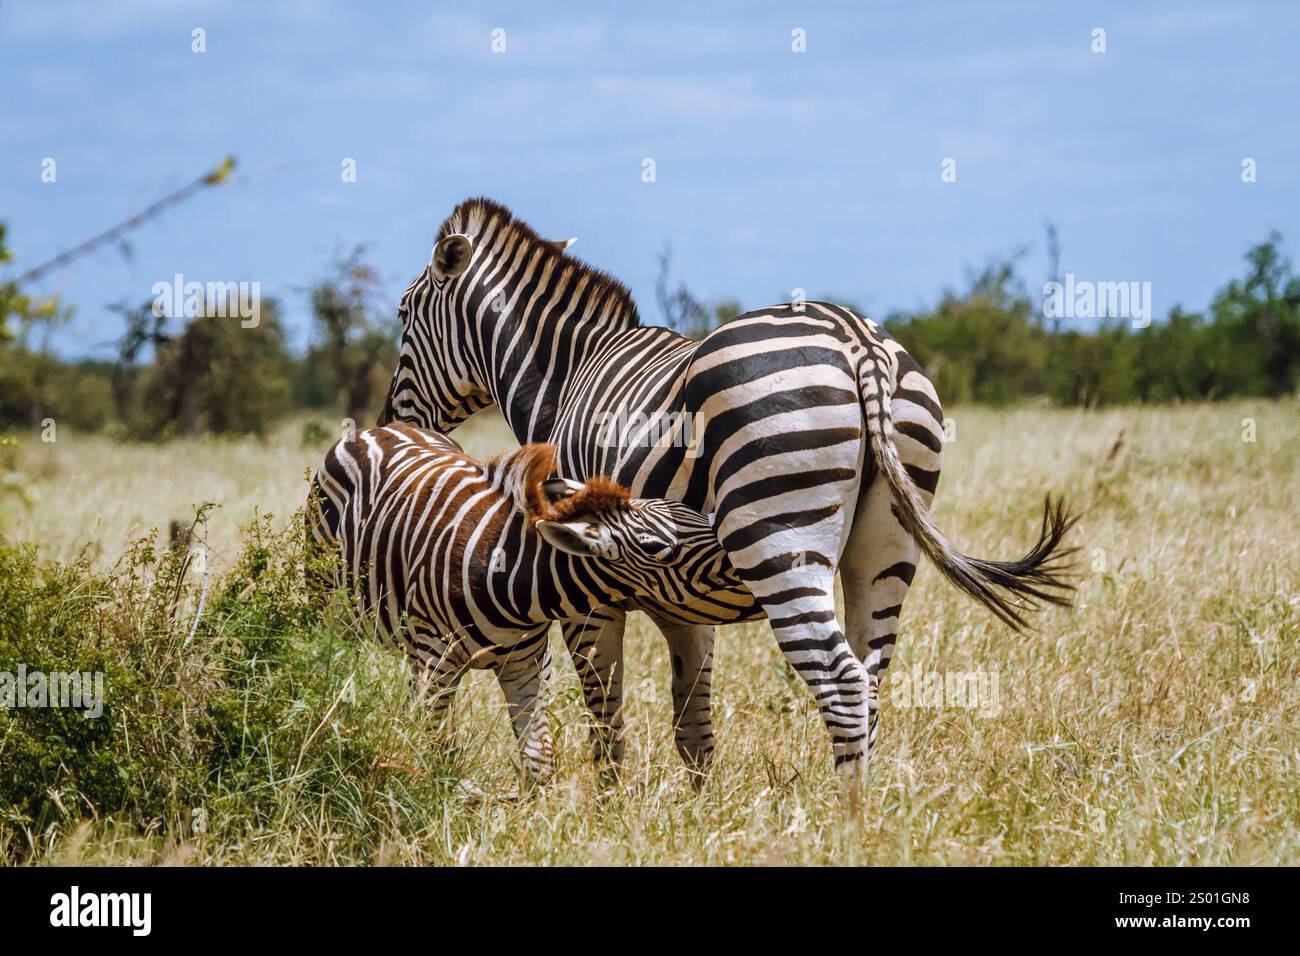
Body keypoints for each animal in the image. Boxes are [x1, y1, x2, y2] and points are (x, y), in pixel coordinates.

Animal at [306, 421, 756, 783]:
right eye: (656, 548)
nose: (739, 548)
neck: (509, 580)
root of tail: (380, 428)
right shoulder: (435, 660)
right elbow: (435, 749)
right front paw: (435, 799)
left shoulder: (527, 664)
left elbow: (539, 759)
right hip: (330, 607)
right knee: (331, 667)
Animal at [379, 198, 1076, 793]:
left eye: (403, 315)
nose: (392, 422)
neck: (570, 374)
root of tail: (858, 340)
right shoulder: (682, 600)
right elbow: (693, 720)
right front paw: (696, 813)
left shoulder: (584, 587)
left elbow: (605, 710)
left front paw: (609, 809)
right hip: (888, 545)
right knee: (871, 678)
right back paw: (866, 810)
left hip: (779, 539)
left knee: (842, 682)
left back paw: (843, 826)